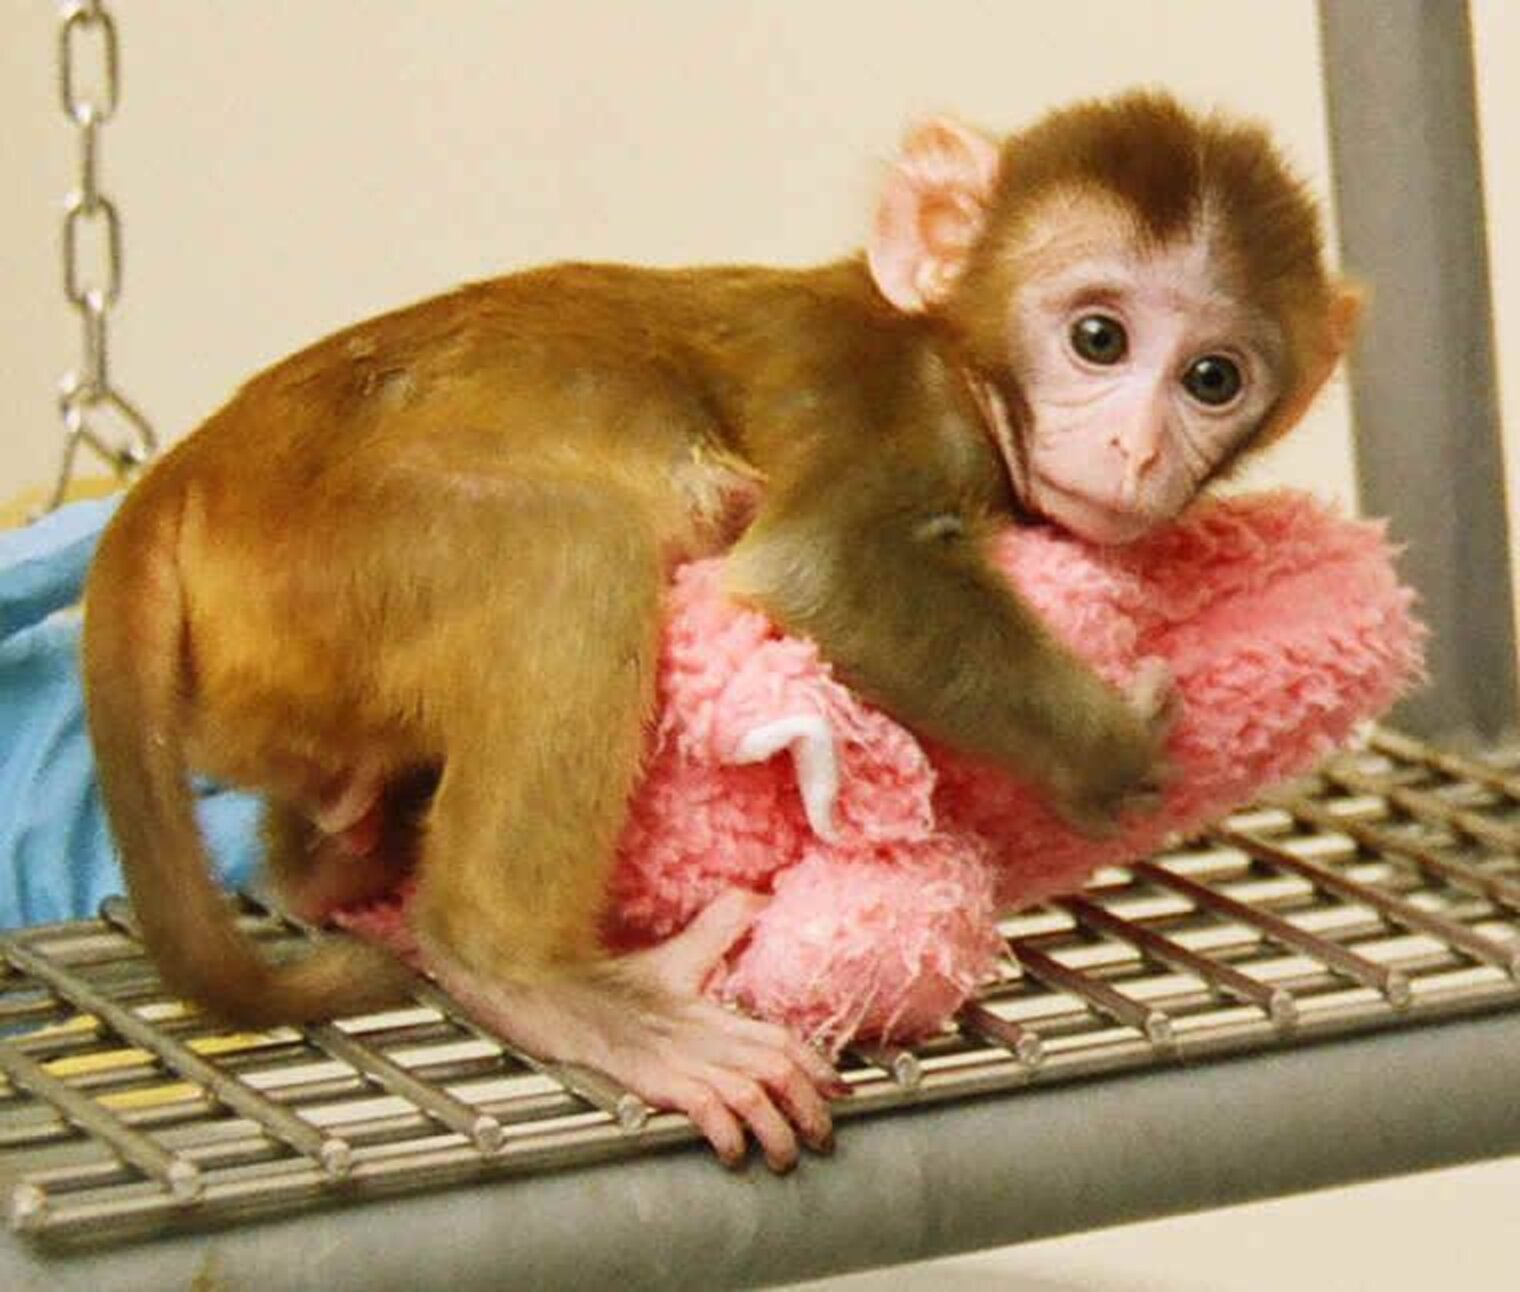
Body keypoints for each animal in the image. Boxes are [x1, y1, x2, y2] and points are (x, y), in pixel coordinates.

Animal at [82, 91, 1359, 1172]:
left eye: (1210, 377)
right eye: (1097, 338)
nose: (1137, 449)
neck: (948, 347)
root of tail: (182, 479)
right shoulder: (890, 401)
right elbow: (824, 569)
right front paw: (1116, 752)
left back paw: (343, 850)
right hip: (333, 561)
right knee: (566, 552)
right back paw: (531, 973)